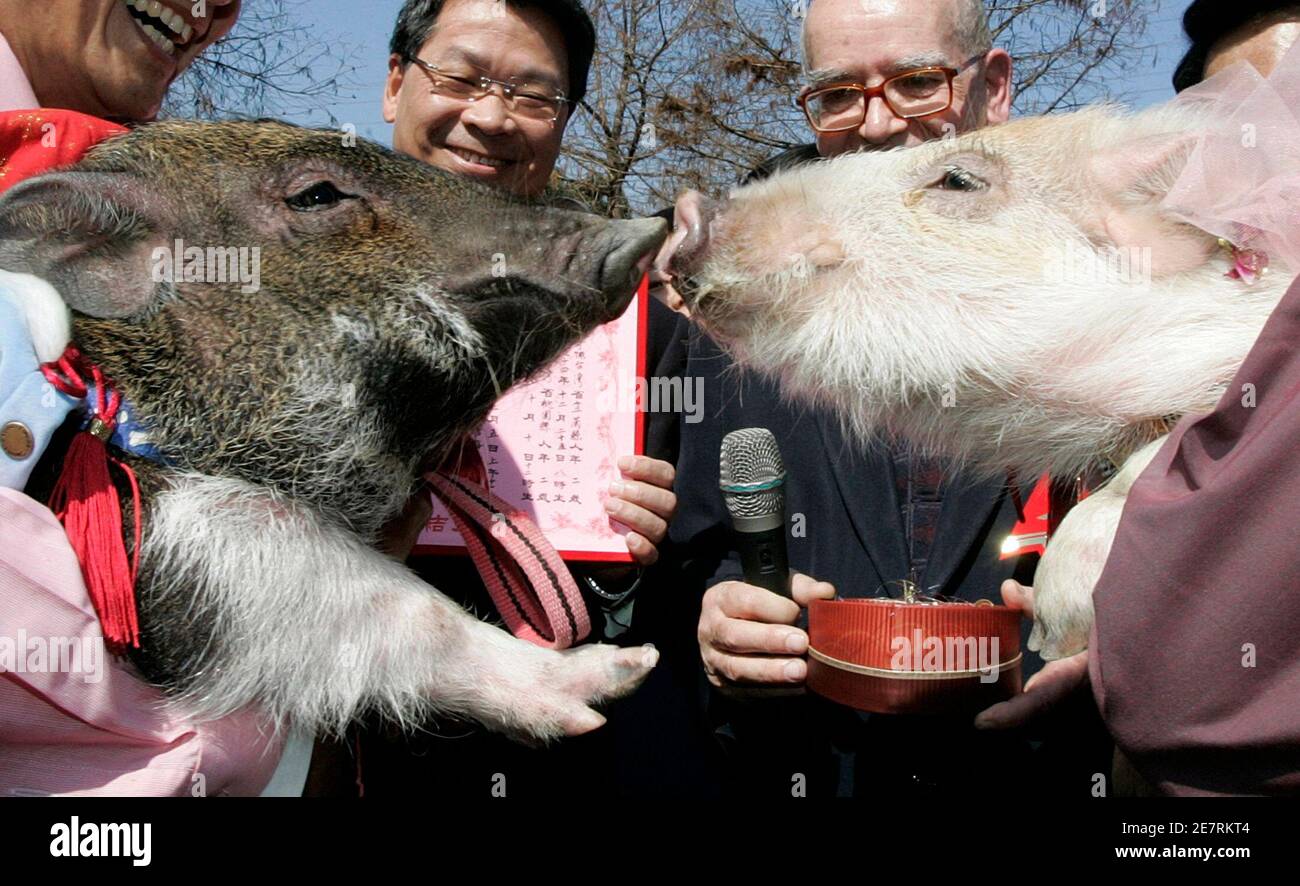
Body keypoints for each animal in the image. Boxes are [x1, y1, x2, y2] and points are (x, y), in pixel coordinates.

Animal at [0, 120, 667, 744]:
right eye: (317, 195)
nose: (645, 231)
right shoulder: (161, 530)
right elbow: (388, 600)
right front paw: (630, 670)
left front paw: (640, 661)